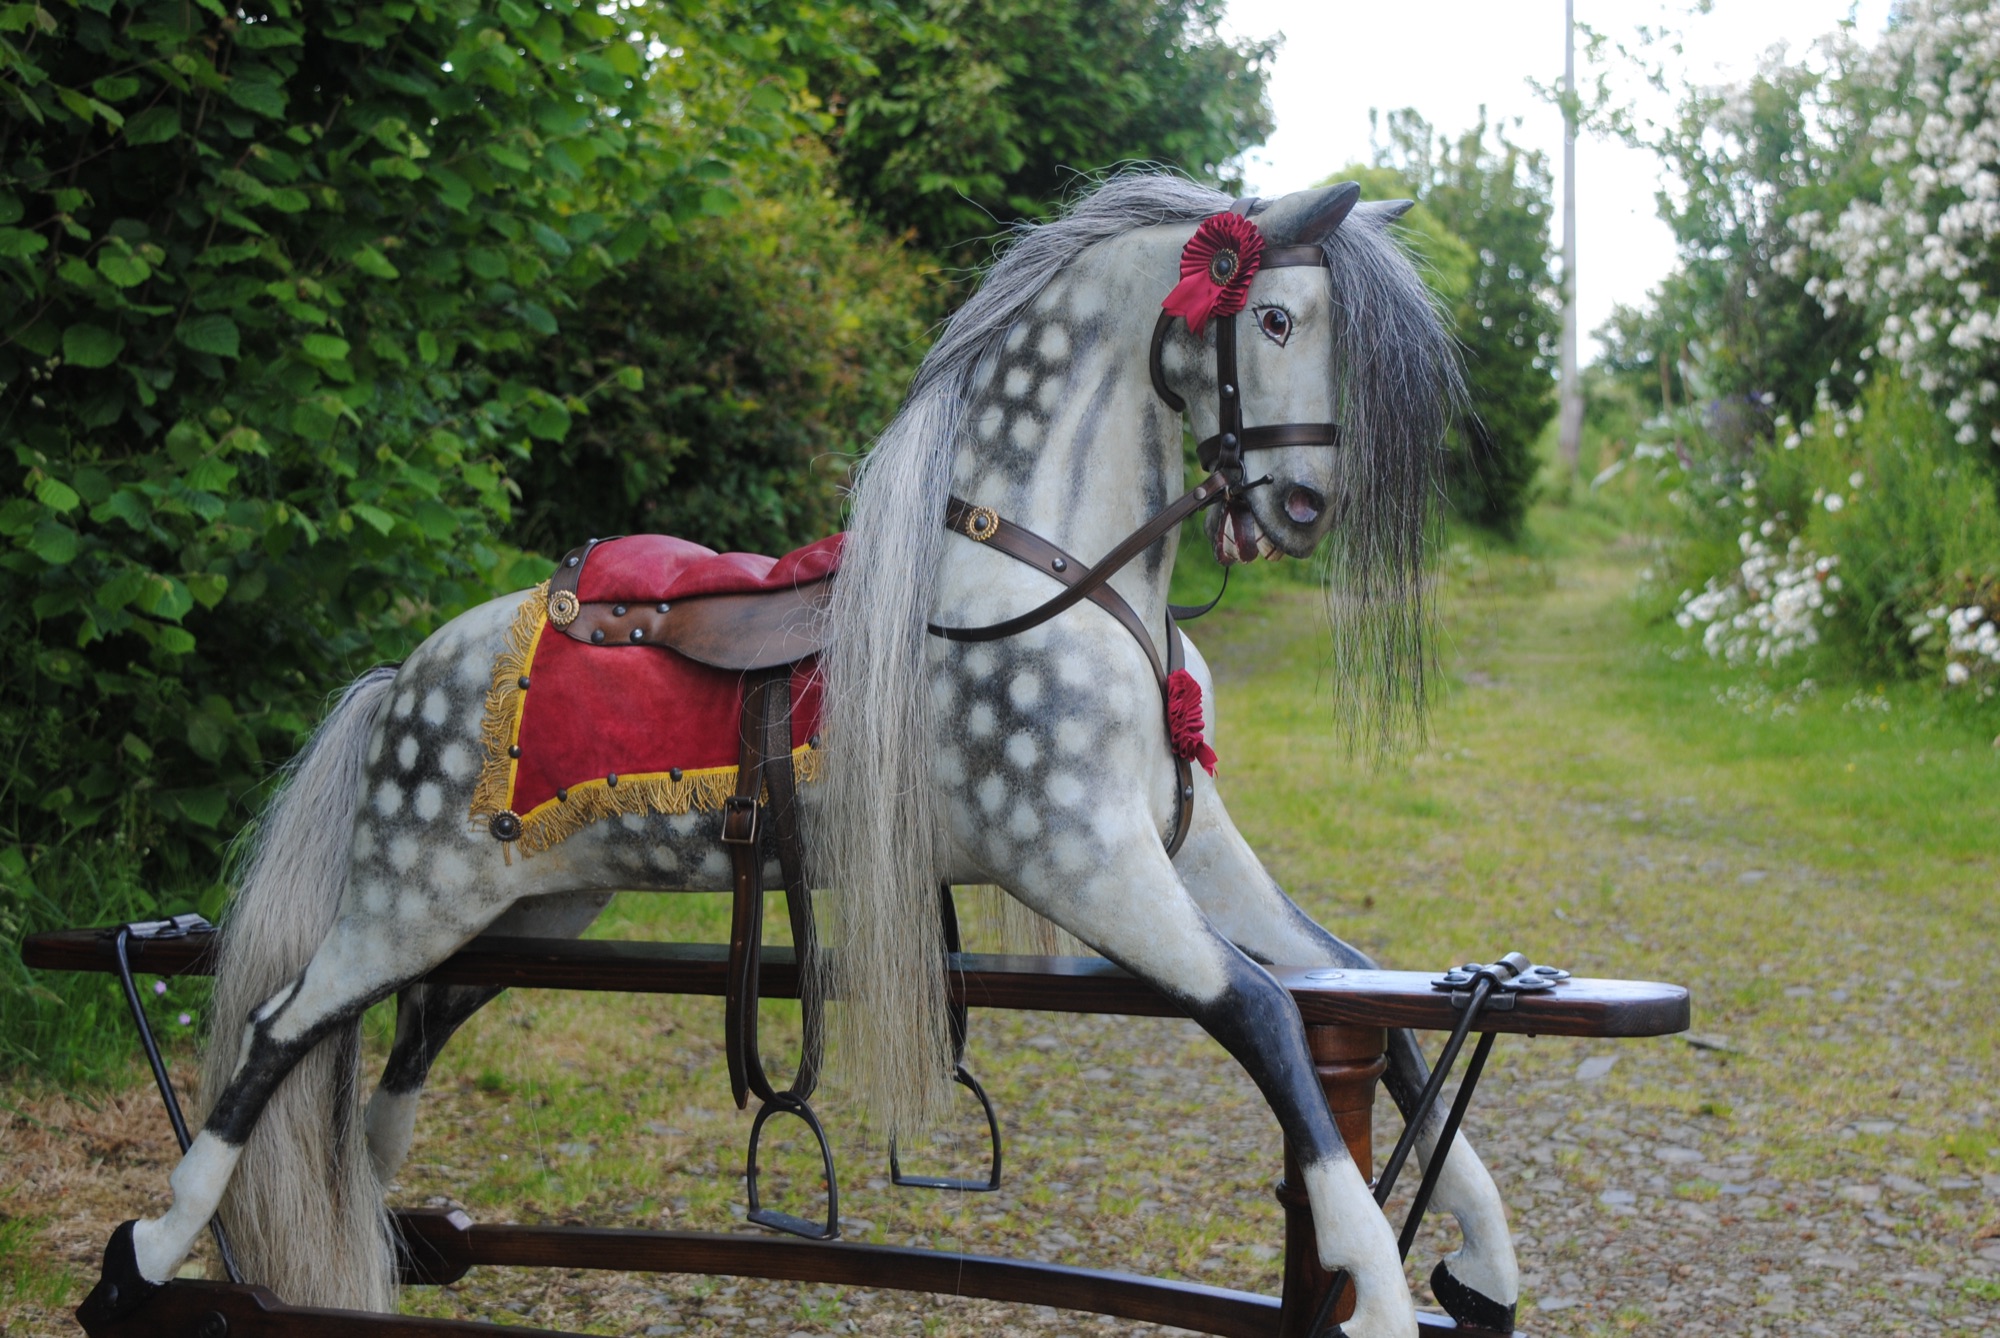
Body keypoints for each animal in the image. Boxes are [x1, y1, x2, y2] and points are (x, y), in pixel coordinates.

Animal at [83, 175, 1519, 1338]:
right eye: (1271, 320)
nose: (1301, 506)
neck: (1049, 572)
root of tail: (404, 678)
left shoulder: (1191, 848)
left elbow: (1359, 989)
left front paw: (1483, 1269)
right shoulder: (1082, 860)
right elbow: (1270, 1016)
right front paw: (1376, 1284)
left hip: (528, 907)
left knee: (406, 1037)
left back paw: (372, 1223)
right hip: (406, 897)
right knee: (276, 1031)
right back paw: (140, 1258)